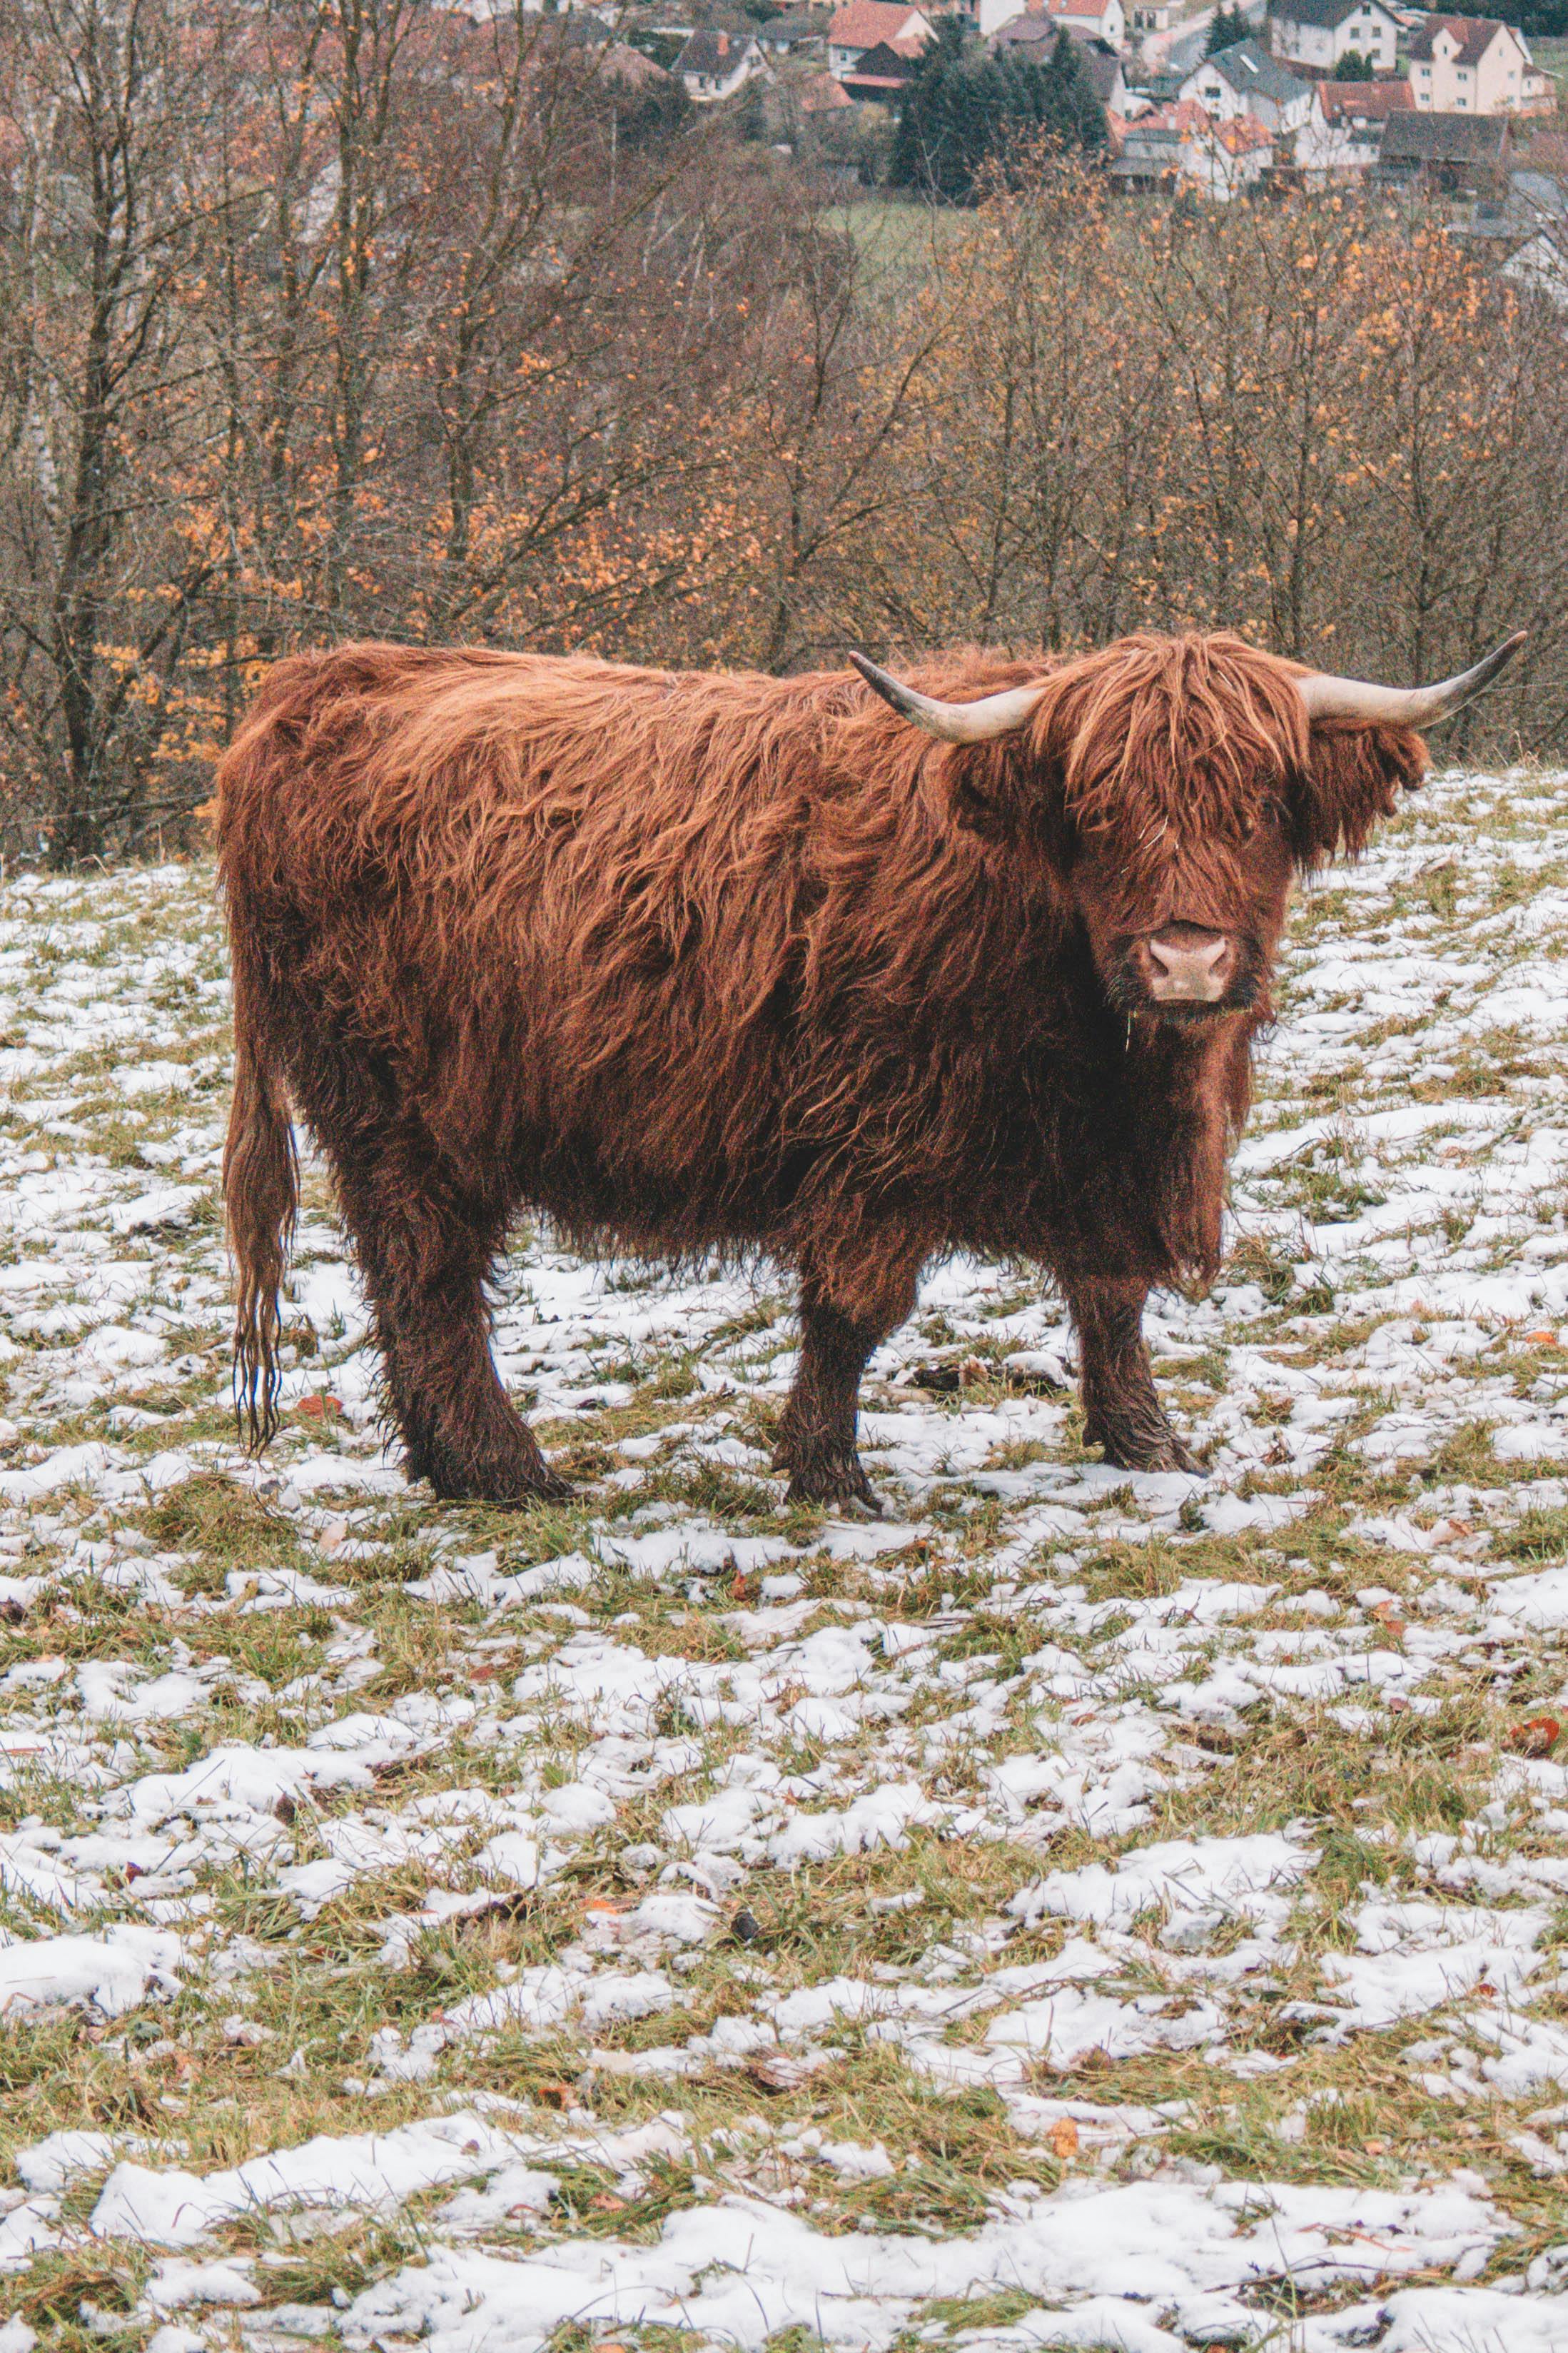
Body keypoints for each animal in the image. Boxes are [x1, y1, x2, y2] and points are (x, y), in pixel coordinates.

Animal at [217, 627, 1521, 1511]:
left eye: (1259, 800)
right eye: (1098, 810)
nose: (1185, 958)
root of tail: (317, 685)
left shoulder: (1102, 1157)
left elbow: (1110, 1298)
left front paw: (1149, 1445)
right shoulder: (876, 1133)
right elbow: (852, 1311)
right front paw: (828, 1473)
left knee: (406, 1282)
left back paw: (451, 1466)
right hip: (396, 1113)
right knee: (431, 1276)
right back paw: (506, 1469)